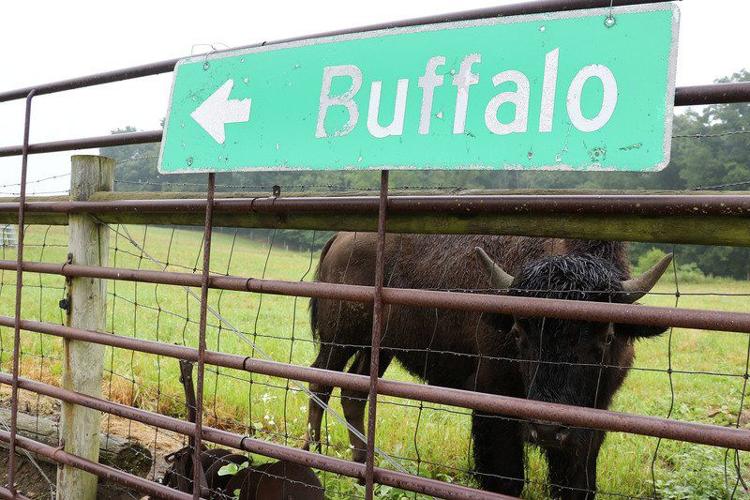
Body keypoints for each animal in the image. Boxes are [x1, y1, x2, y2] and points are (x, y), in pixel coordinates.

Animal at [303, 233, 671, 498]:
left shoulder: (594, 416)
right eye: (520, 333)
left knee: (354, 393)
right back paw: (314, 454)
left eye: (607, 336)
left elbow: (577, 481)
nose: (548, 429)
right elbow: (506, 478)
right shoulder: (494, 403)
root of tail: (340, 239)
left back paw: (361, 465)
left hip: (378, 350)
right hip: (340, 340)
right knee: (319, 383)